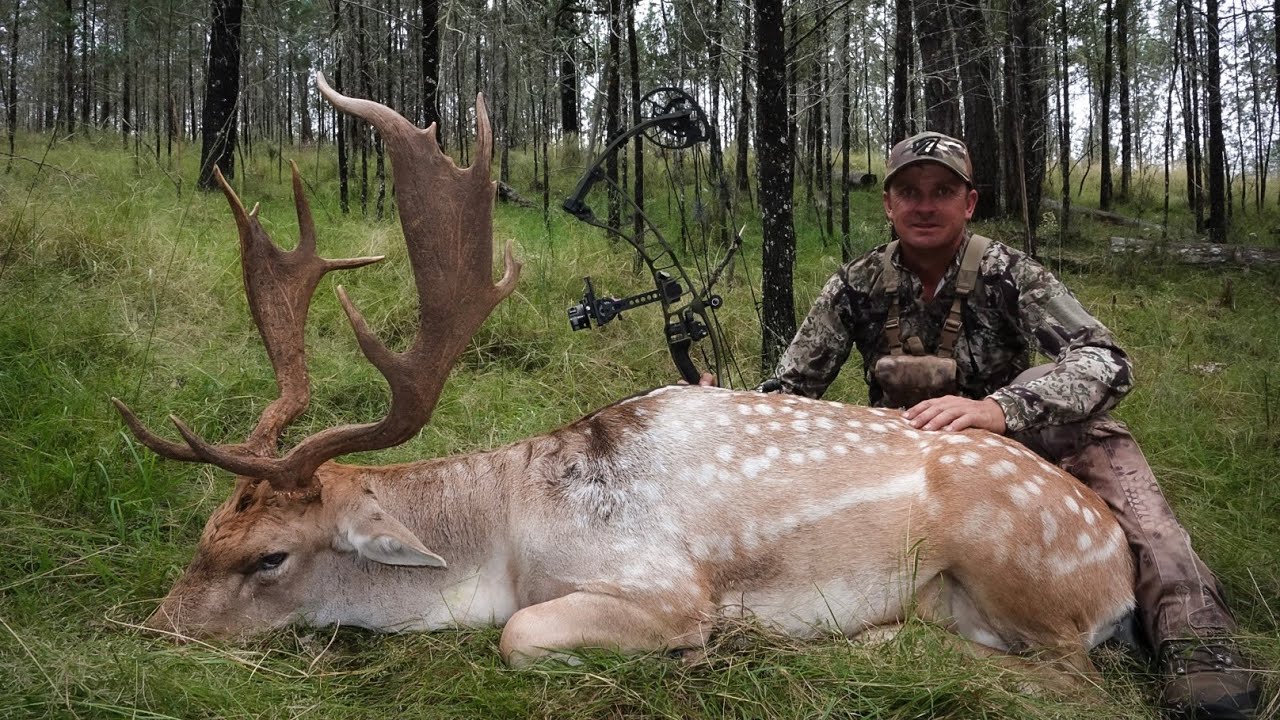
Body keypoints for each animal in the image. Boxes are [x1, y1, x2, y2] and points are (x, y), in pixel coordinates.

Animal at [115, 74, 1136, 681]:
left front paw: (703, 645)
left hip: (1018, 563)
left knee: (1062, 671)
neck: (509, 535)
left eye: (269, 558)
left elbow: (520, 636)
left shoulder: (658, 581)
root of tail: (1119, 571)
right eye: (204, 534)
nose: (156, 629)